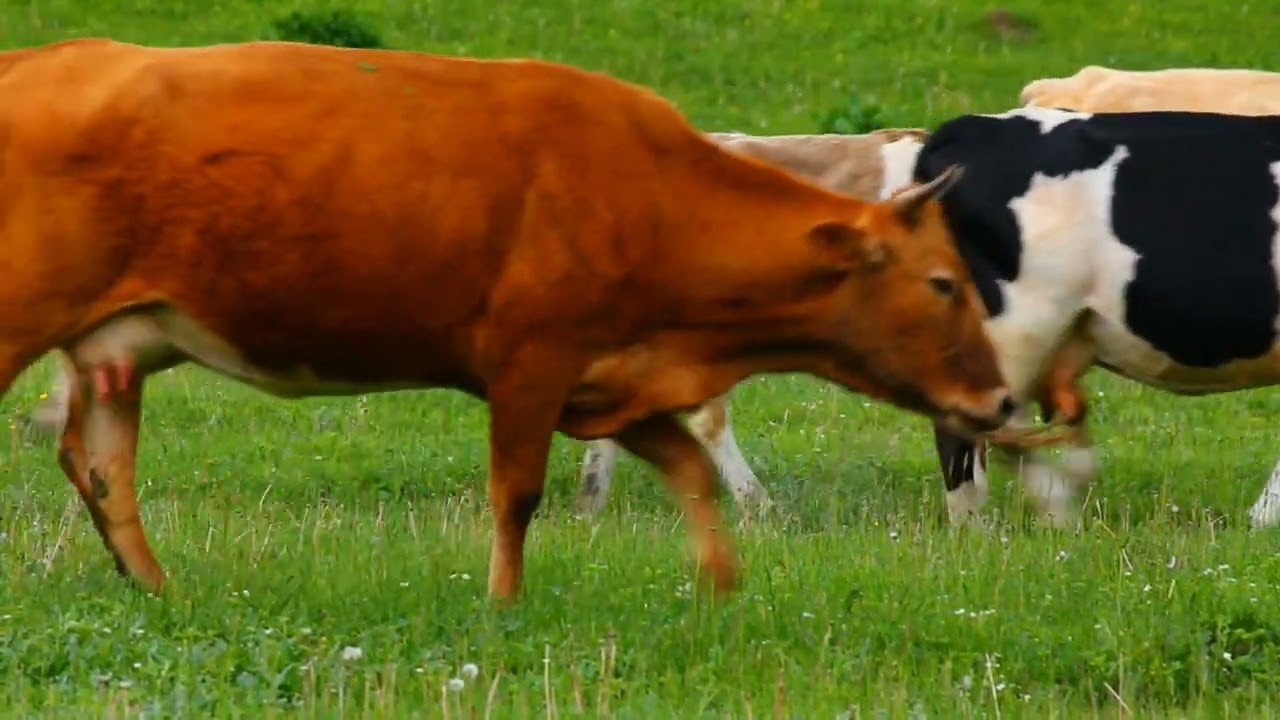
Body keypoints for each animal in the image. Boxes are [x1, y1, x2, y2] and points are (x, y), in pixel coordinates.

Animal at [0, 38, 1014, 603]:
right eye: (943, 283)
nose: (1002, 402)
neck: (650, 193)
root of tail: (42, 57)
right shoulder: (532, 361)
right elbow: (516, 493)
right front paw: (503, 605)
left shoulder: (611, 380)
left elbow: (691, 470)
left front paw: (720, 592)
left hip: (114, 352)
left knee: (100, 467)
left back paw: (158, 589)